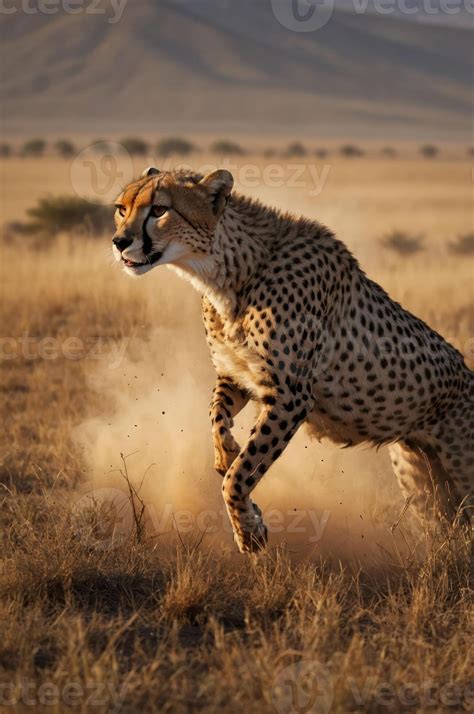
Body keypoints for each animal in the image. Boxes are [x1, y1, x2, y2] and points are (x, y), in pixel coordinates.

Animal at [112, 166, 473, 553]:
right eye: (122, 208)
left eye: (159, 210)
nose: (119, 242)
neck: (229, 271)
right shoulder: (239, 376)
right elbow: (216, 416)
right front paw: (226, 454)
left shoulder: (291, 396)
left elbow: (241, 473)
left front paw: (248, 529)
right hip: (422, 481)